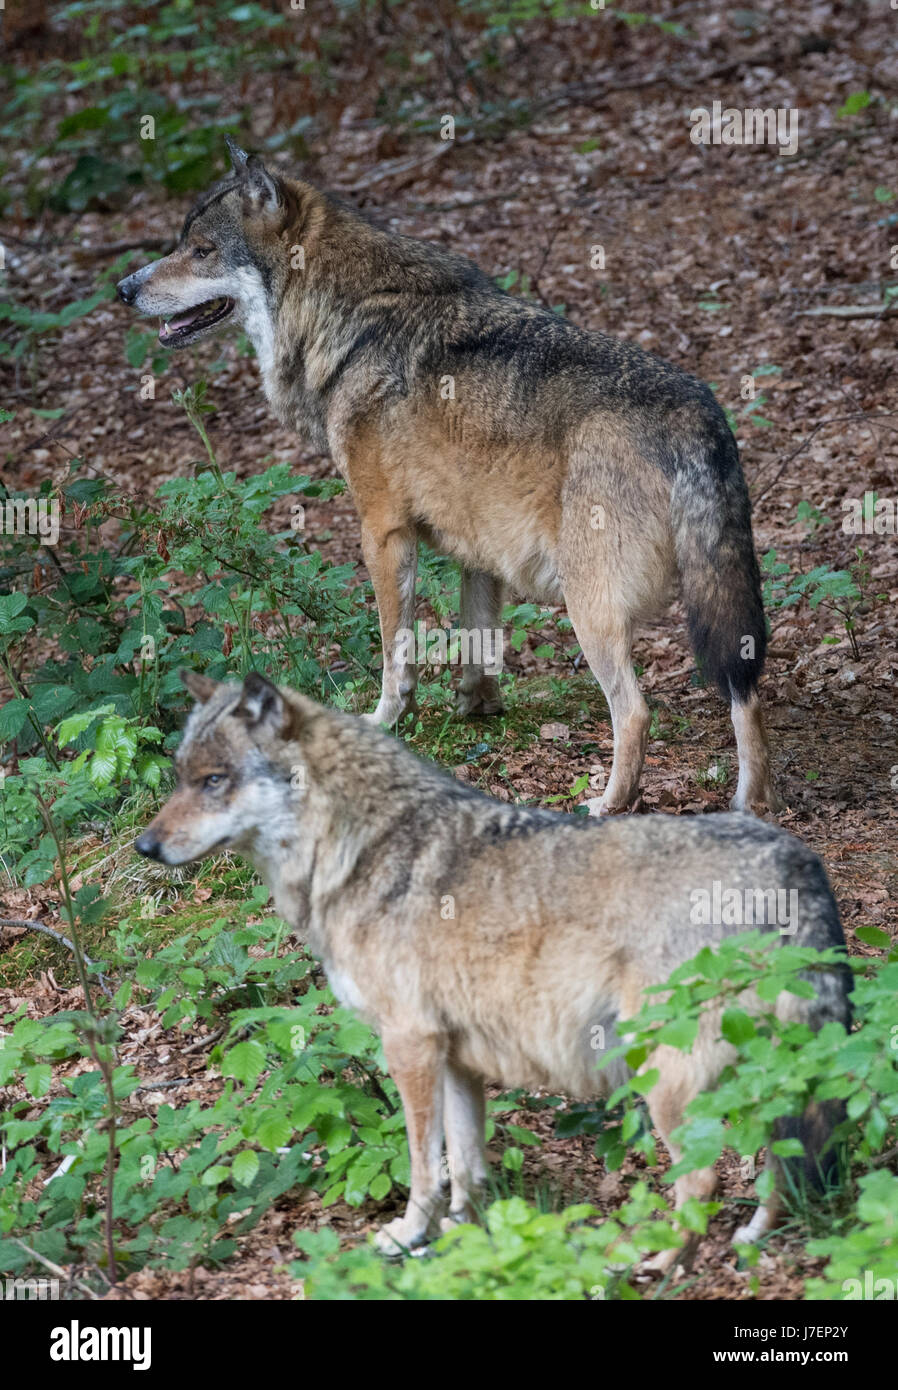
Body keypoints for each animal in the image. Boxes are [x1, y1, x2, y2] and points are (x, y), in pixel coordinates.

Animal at [117, 137, 778, 815]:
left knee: (636, 711)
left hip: (589, 608)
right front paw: (477, 711)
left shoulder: (383, 532)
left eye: (202, 250)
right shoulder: (480, 549)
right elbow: (476, 642)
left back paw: (606, 805)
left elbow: (395, 655)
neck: (343, 318)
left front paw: (386, 723)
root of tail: (696, 413)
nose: (123, 288)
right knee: (746, 695)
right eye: (182, 242)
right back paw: (752, 807)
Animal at [135, 671, 849, 1268]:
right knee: (778, 1166)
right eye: (180, 777)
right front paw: (463, 1242)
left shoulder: (411, 1045)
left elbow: (425, 1167)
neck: (357, 847)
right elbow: (468, 1169)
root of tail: (796, 862)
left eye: (213, 781)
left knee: (702, 1178)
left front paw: (407, 1237)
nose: (144, 845)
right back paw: (752, 1241)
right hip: (765, 1078)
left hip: (664, 1077)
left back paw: (658, 1264)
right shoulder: (457, 1058)